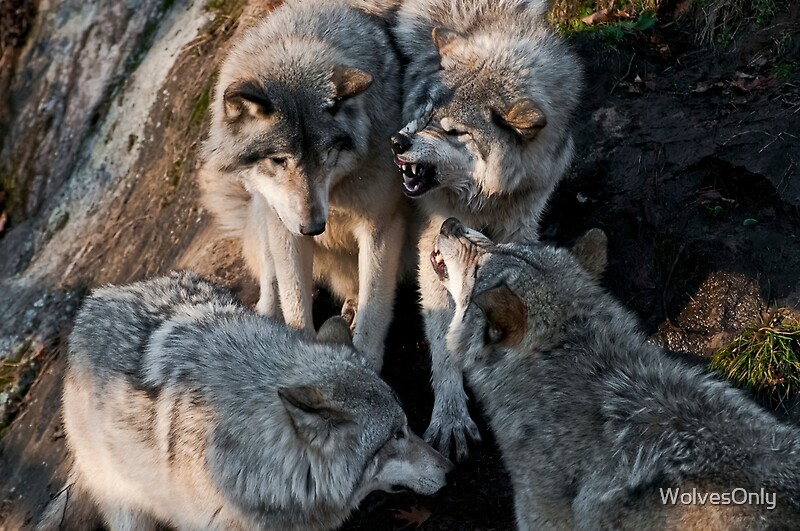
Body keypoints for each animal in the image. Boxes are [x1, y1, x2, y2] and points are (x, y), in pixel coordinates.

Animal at [199, 0, 411, 370]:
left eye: (327, 154)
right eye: (279, 160)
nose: (313, 227)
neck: (336, 193)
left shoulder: (381, 225)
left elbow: (374, 309)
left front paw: (365, 363)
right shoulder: (286, 228)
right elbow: (295, 305)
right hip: (264, 216)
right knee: (270, 290)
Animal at [388, 0, 584, 458]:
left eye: (453, 131)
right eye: (424, 113)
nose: (397, 143)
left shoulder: (519, 225)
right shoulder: (435, 239)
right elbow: (443, 334)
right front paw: (451, 418)